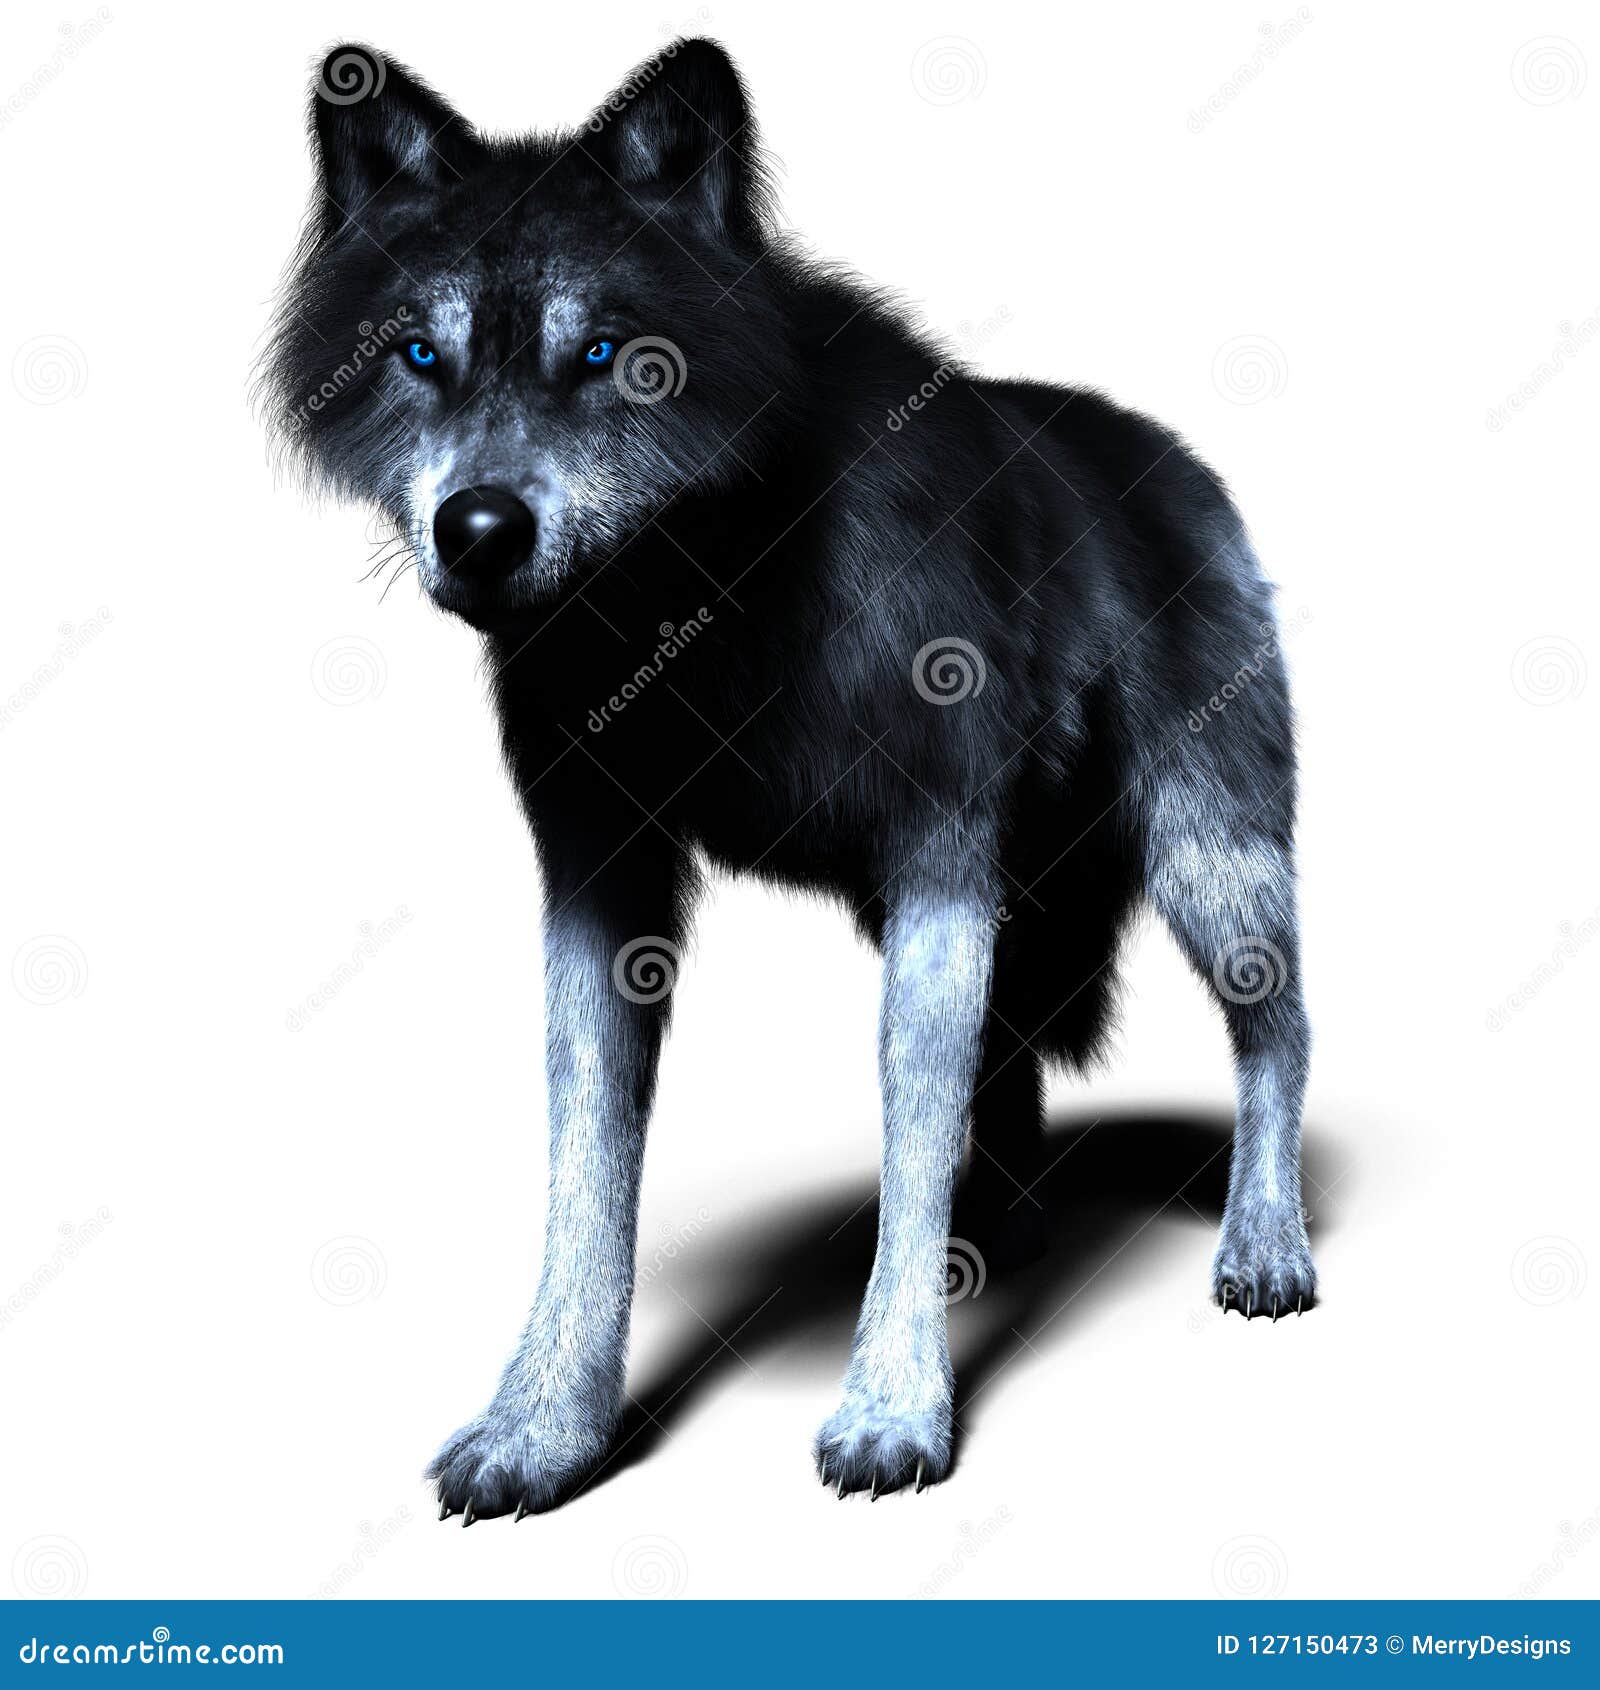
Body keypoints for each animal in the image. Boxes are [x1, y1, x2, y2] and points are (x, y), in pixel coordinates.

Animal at [264, 37, 1316, 1518]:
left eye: (607, 355)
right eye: (421, 353)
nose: (479, 529)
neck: (697, 612)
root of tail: (1177, 459)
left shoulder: (939, 851)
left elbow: (908, 1127)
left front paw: (891, 1405)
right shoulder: (600, 878)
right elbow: (586, 1162)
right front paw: (546, 1422)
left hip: (1206, 869)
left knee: (1280, 1034)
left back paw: (1262, 1243)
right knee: (1008, 1065)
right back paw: (1006, 1219)